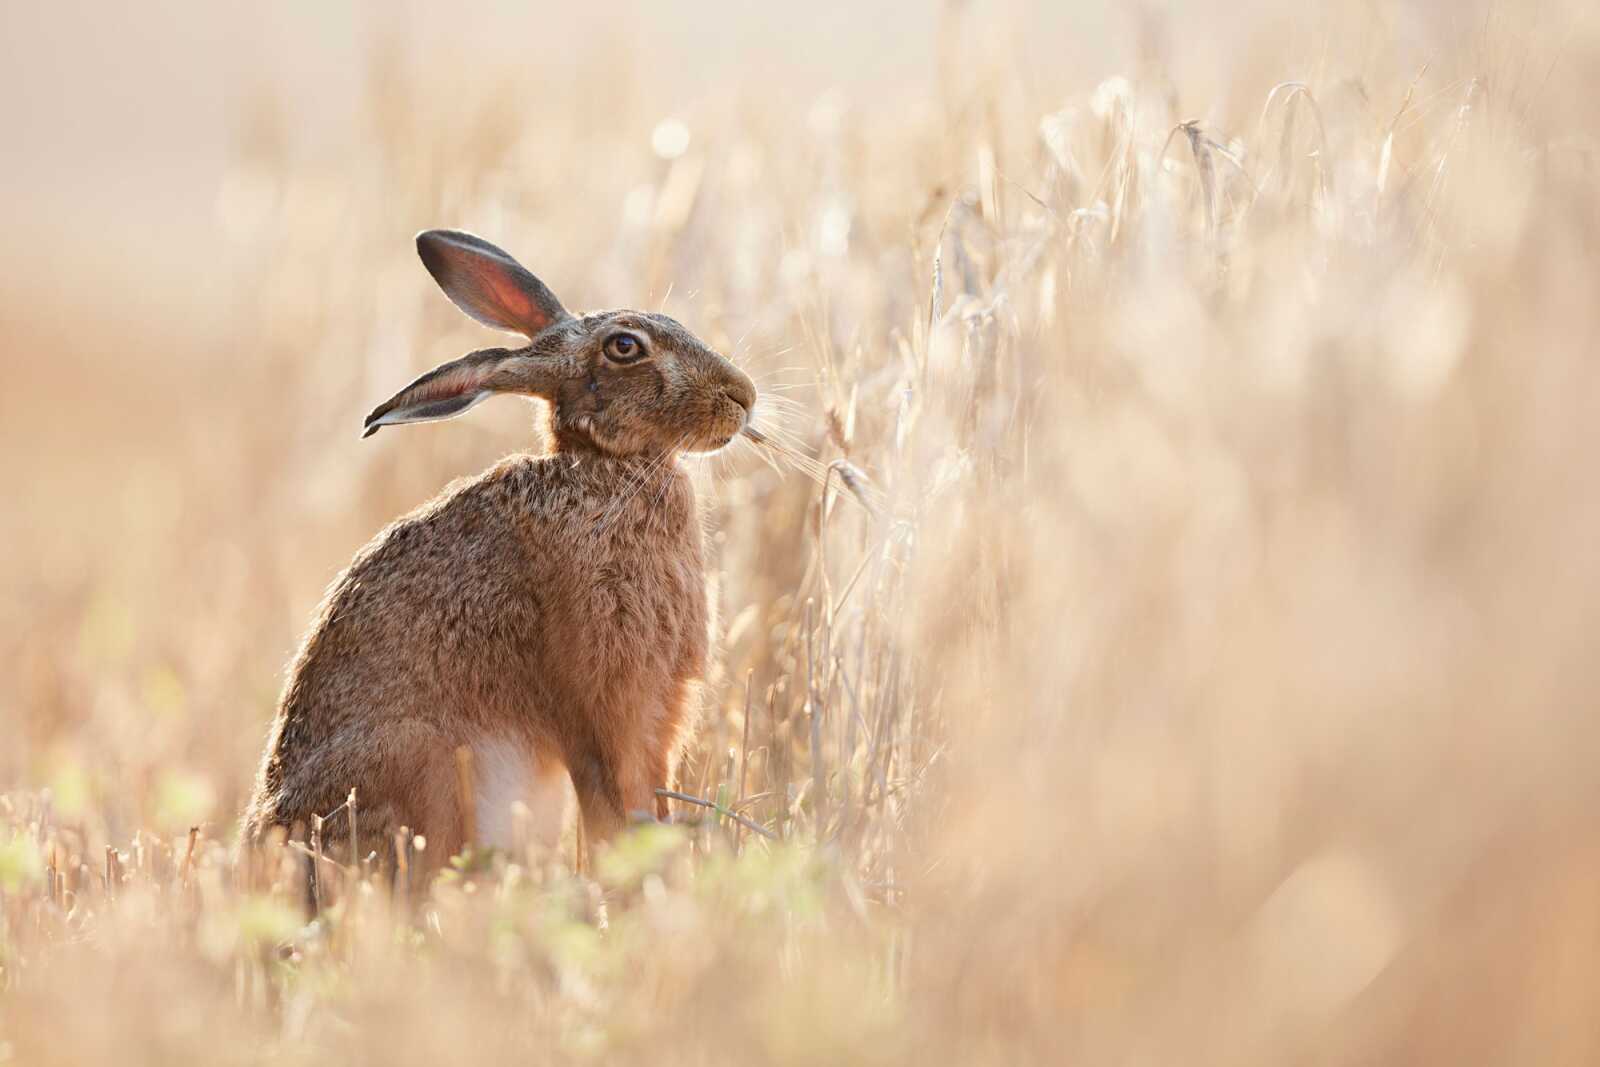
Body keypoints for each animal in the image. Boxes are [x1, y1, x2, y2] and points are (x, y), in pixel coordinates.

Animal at [241, 229, 757, 872]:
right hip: (422, 763)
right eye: (625, 347)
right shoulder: (607, 700)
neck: (603, 466)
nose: (744, 396)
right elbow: (615, 800)